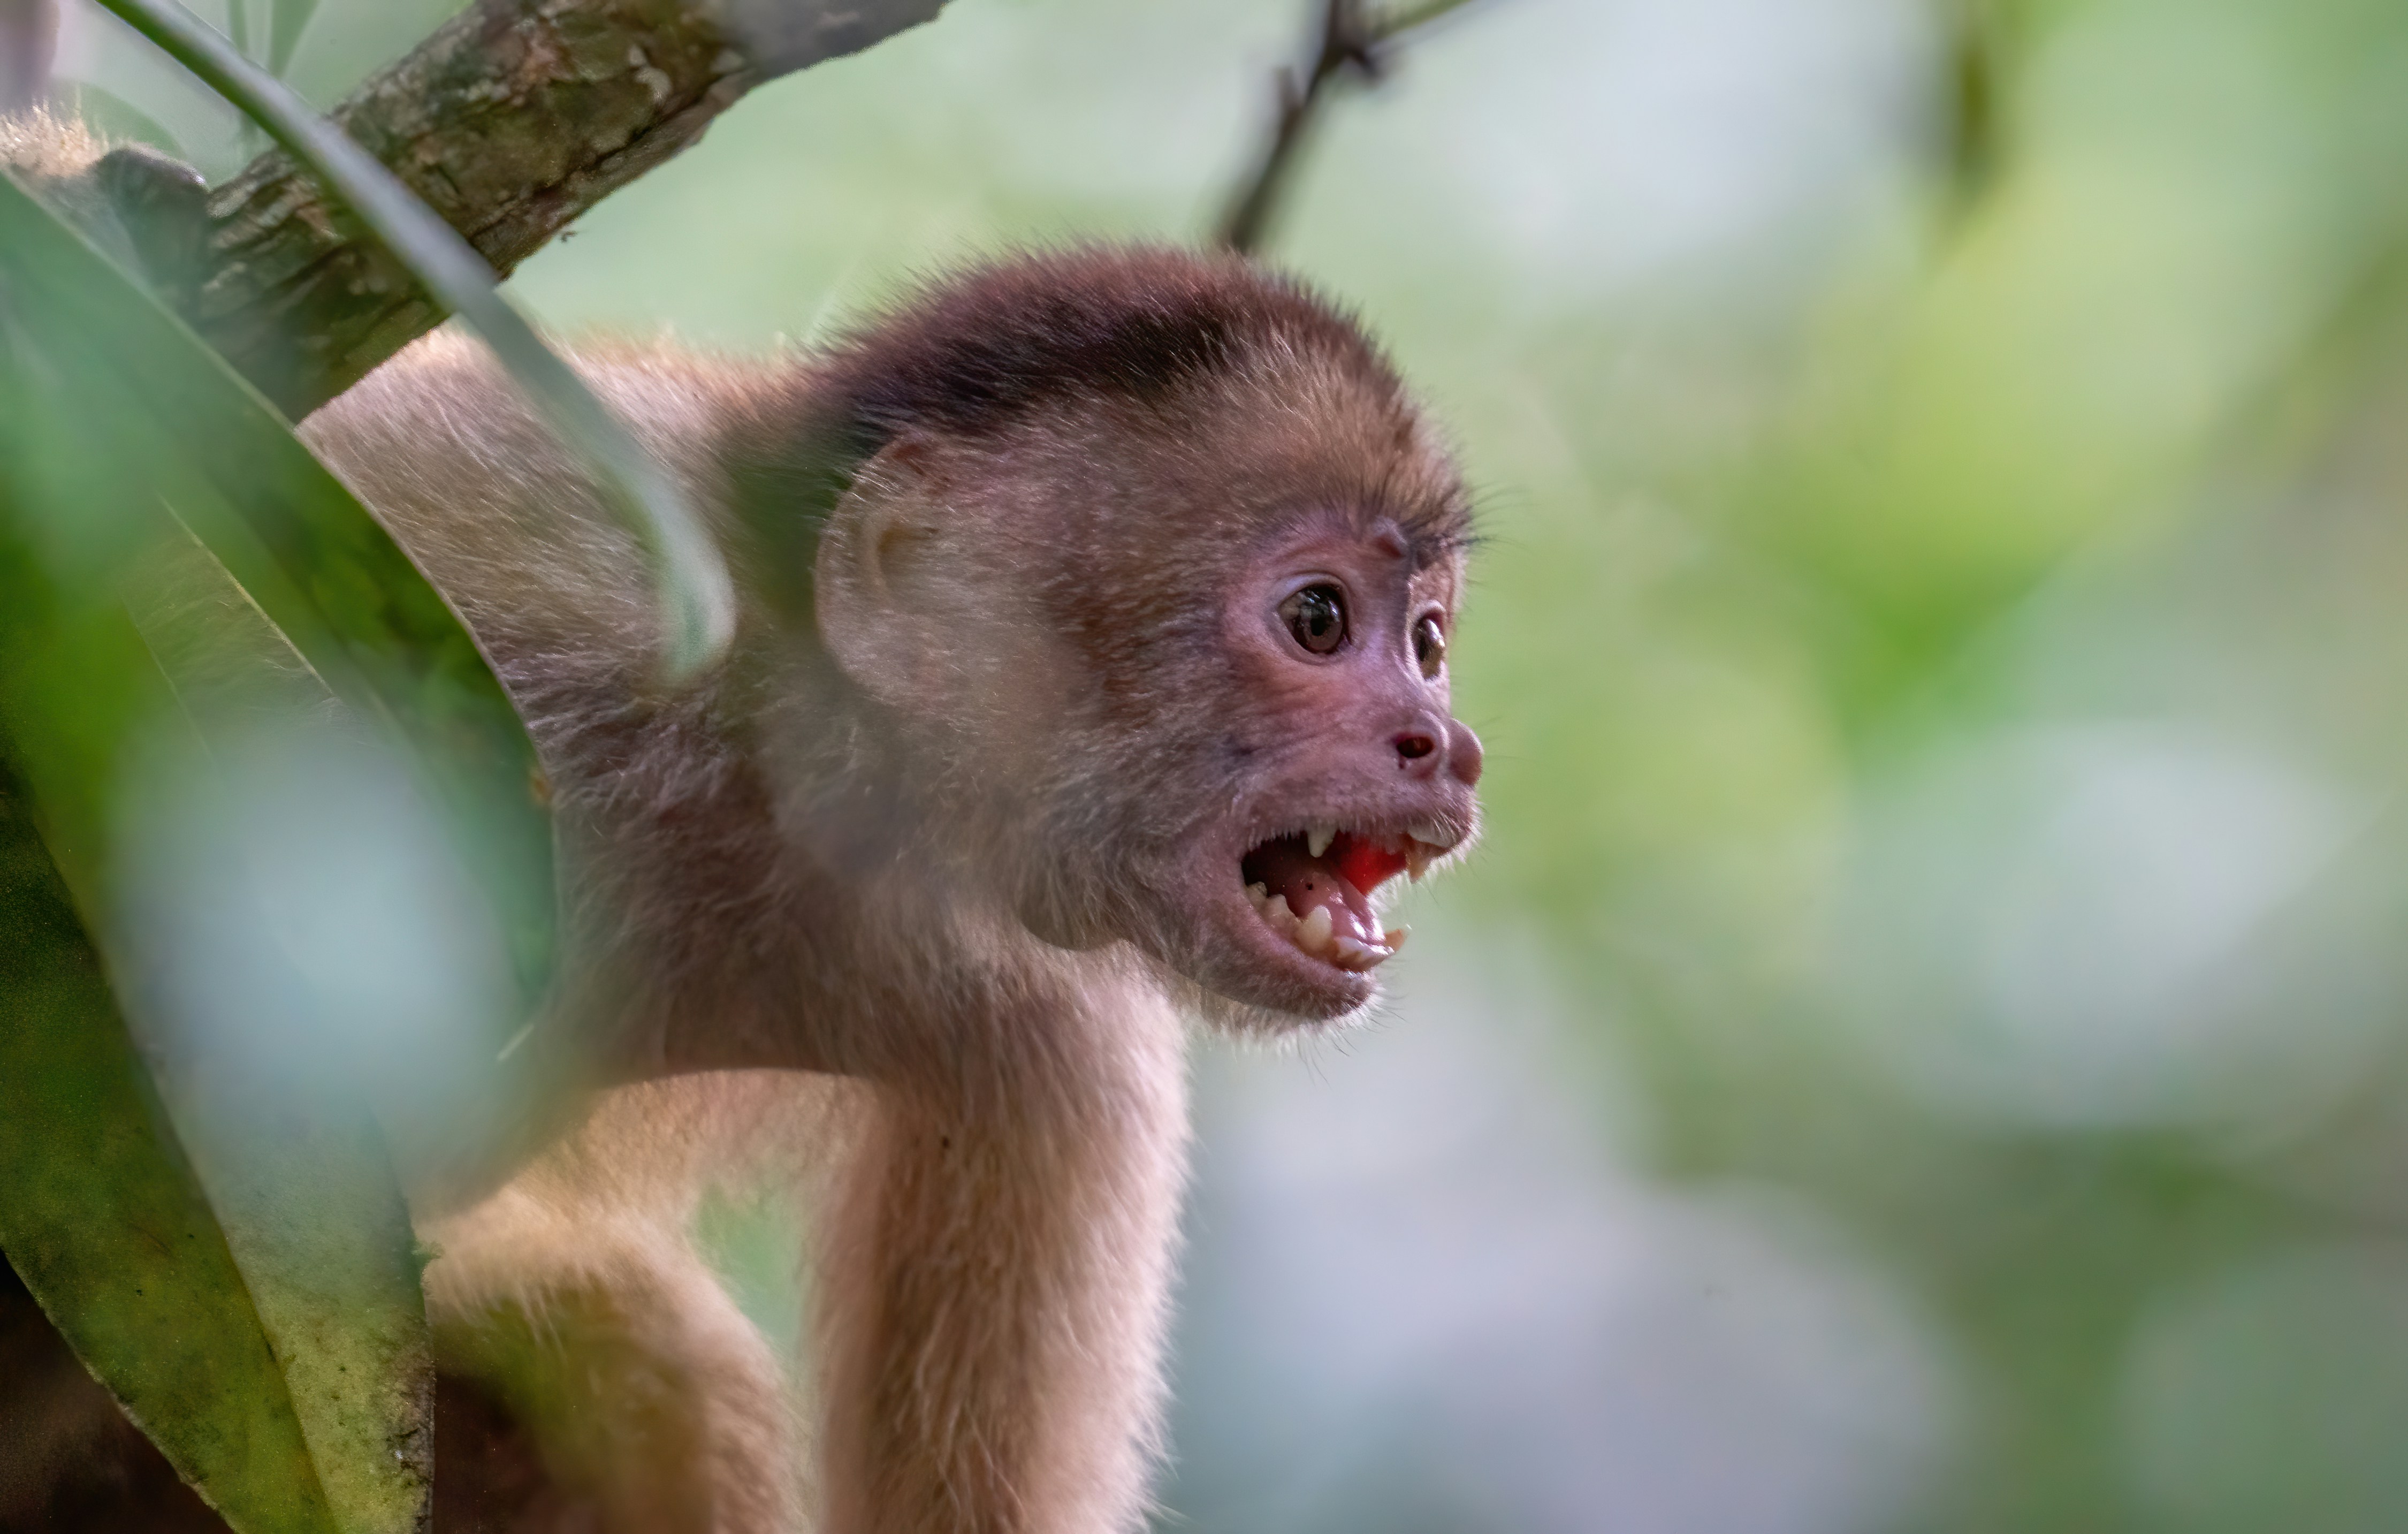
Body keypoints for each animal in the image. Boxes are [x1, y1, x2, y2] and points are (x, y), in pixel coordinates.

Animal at [4, 115, 1483, 1534]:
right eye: (1317, 619)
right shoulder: (536, 528)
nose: (1448, 749)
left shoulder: (1054, 1048)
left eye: (1426, 641)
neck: (773, 773)